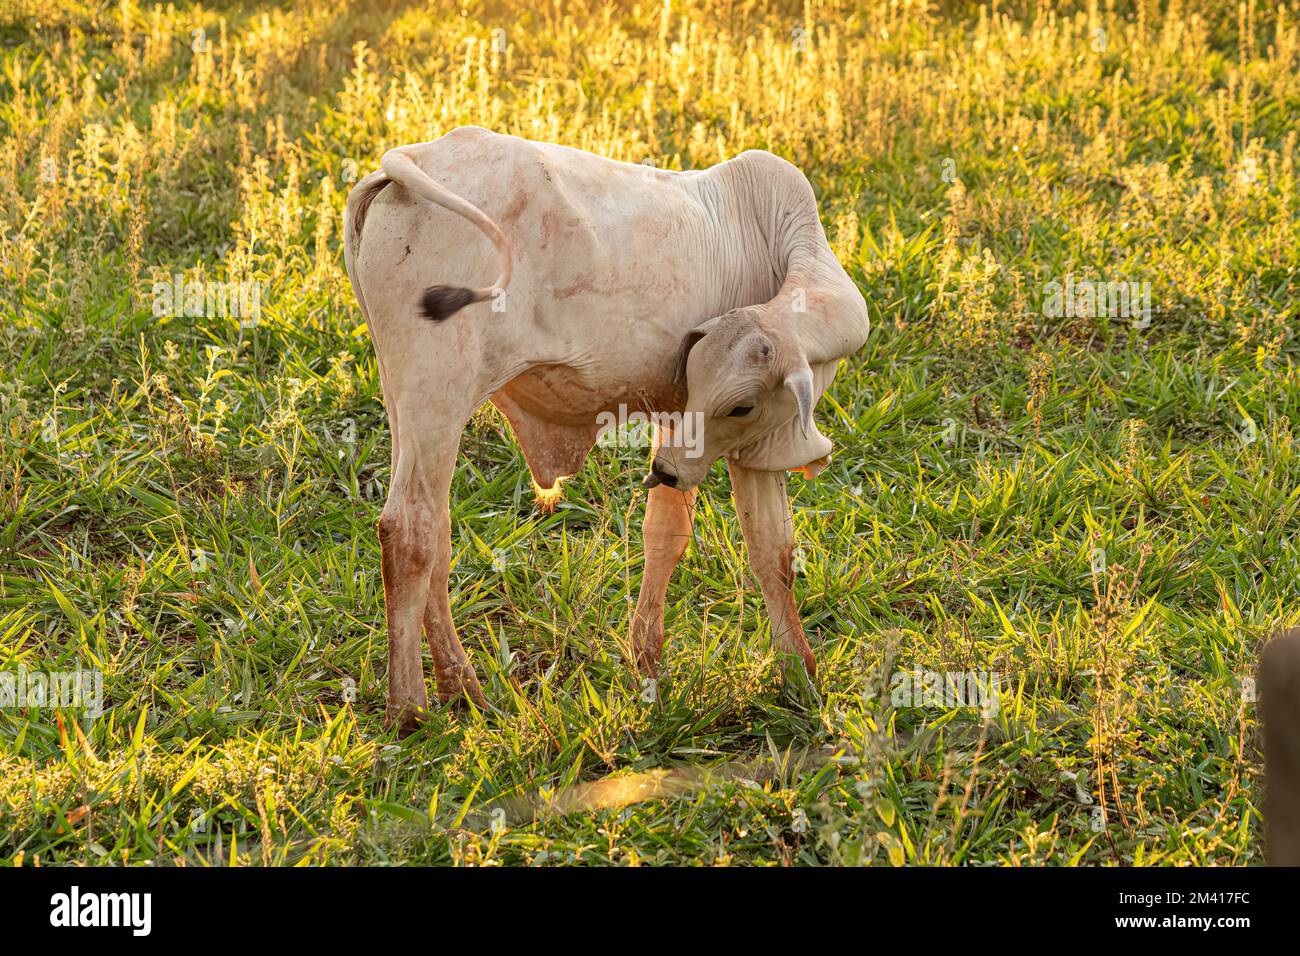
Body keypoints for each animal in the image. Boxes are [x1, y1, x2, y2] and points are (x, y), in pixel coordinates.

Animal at [343, 126, 869, 729]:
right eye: (740, 406)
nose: (667, 470)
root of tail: (411, 160)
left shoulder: (685, 430)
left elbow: (701, 539)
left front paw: (658, 665)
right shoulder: (744, 445)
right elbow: (765, 548)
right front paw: (797, 674)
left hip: (405, 402)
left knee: (437, 532)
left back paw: (464, 688)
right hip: (437, 393)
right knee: (408, 531)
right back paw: (410, 709)